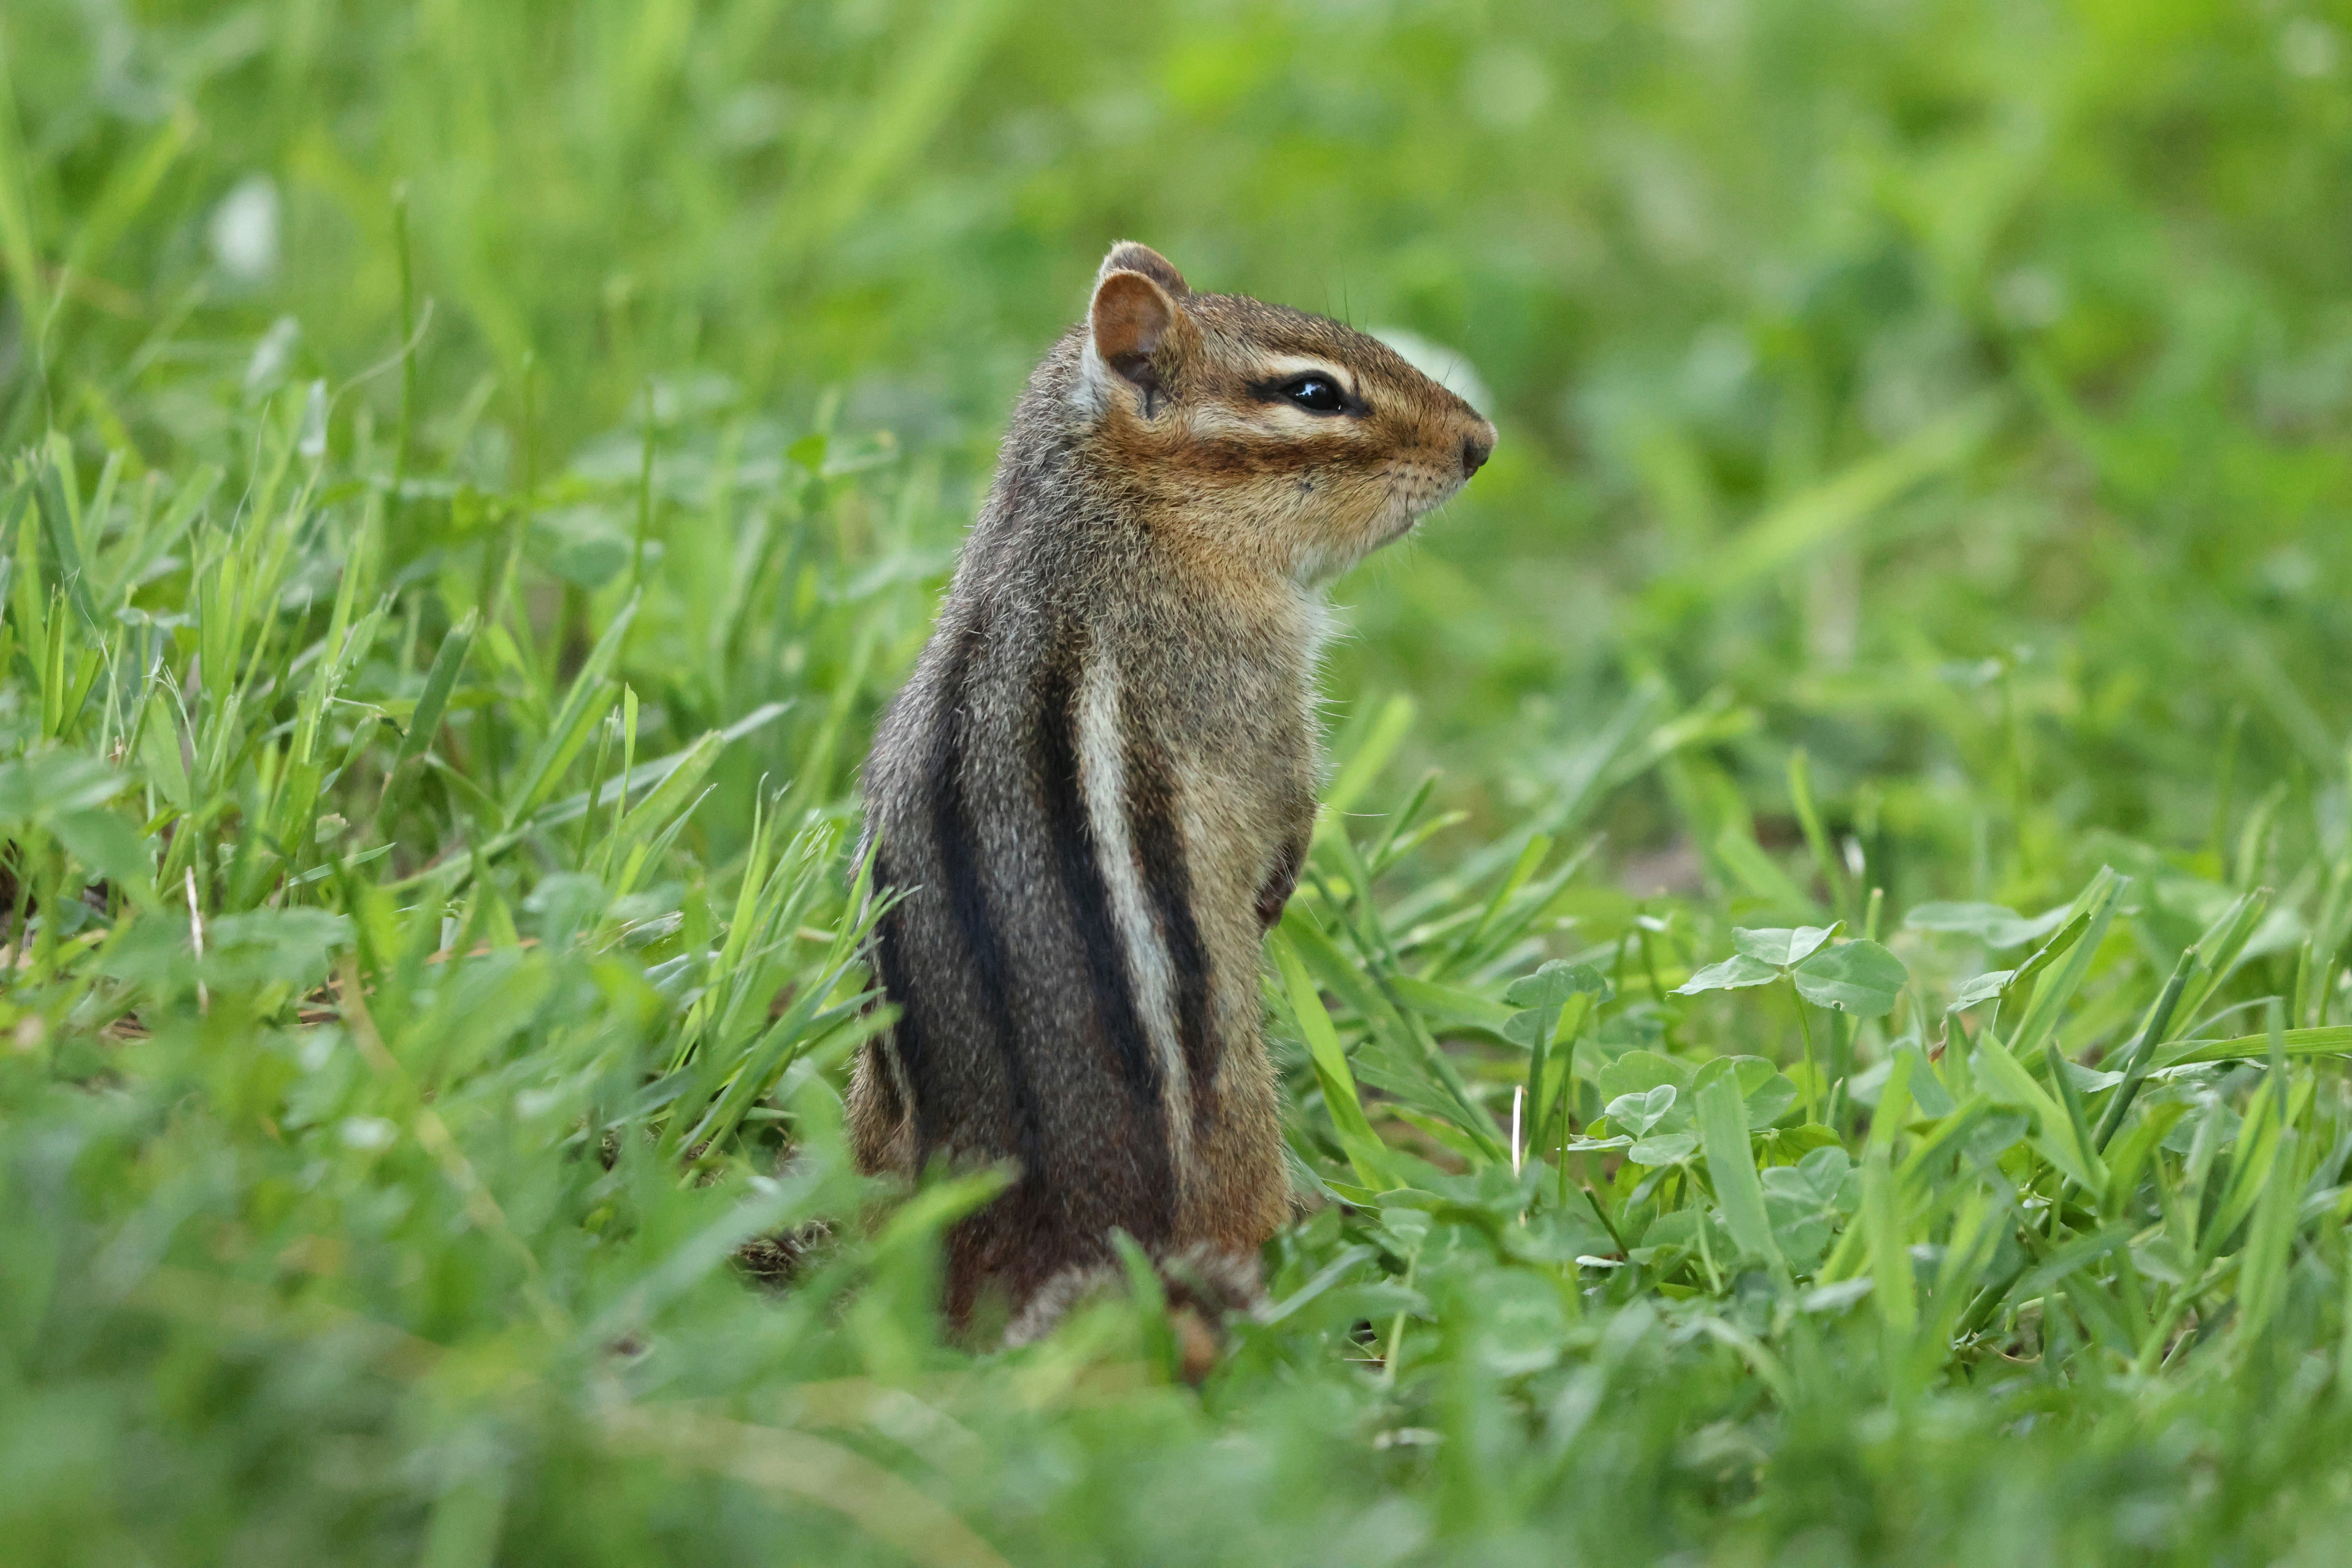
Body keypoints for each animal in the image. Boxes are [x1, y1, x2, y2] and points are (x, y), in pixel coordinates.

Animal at [847, 241, 1496, 1344]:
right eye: (1315, 393)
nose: (1480, 441)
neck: (1113, 518)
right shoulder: (1254, 689)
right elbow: (1285, 798)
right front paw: (1278, 885)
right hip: (1239, 1109)